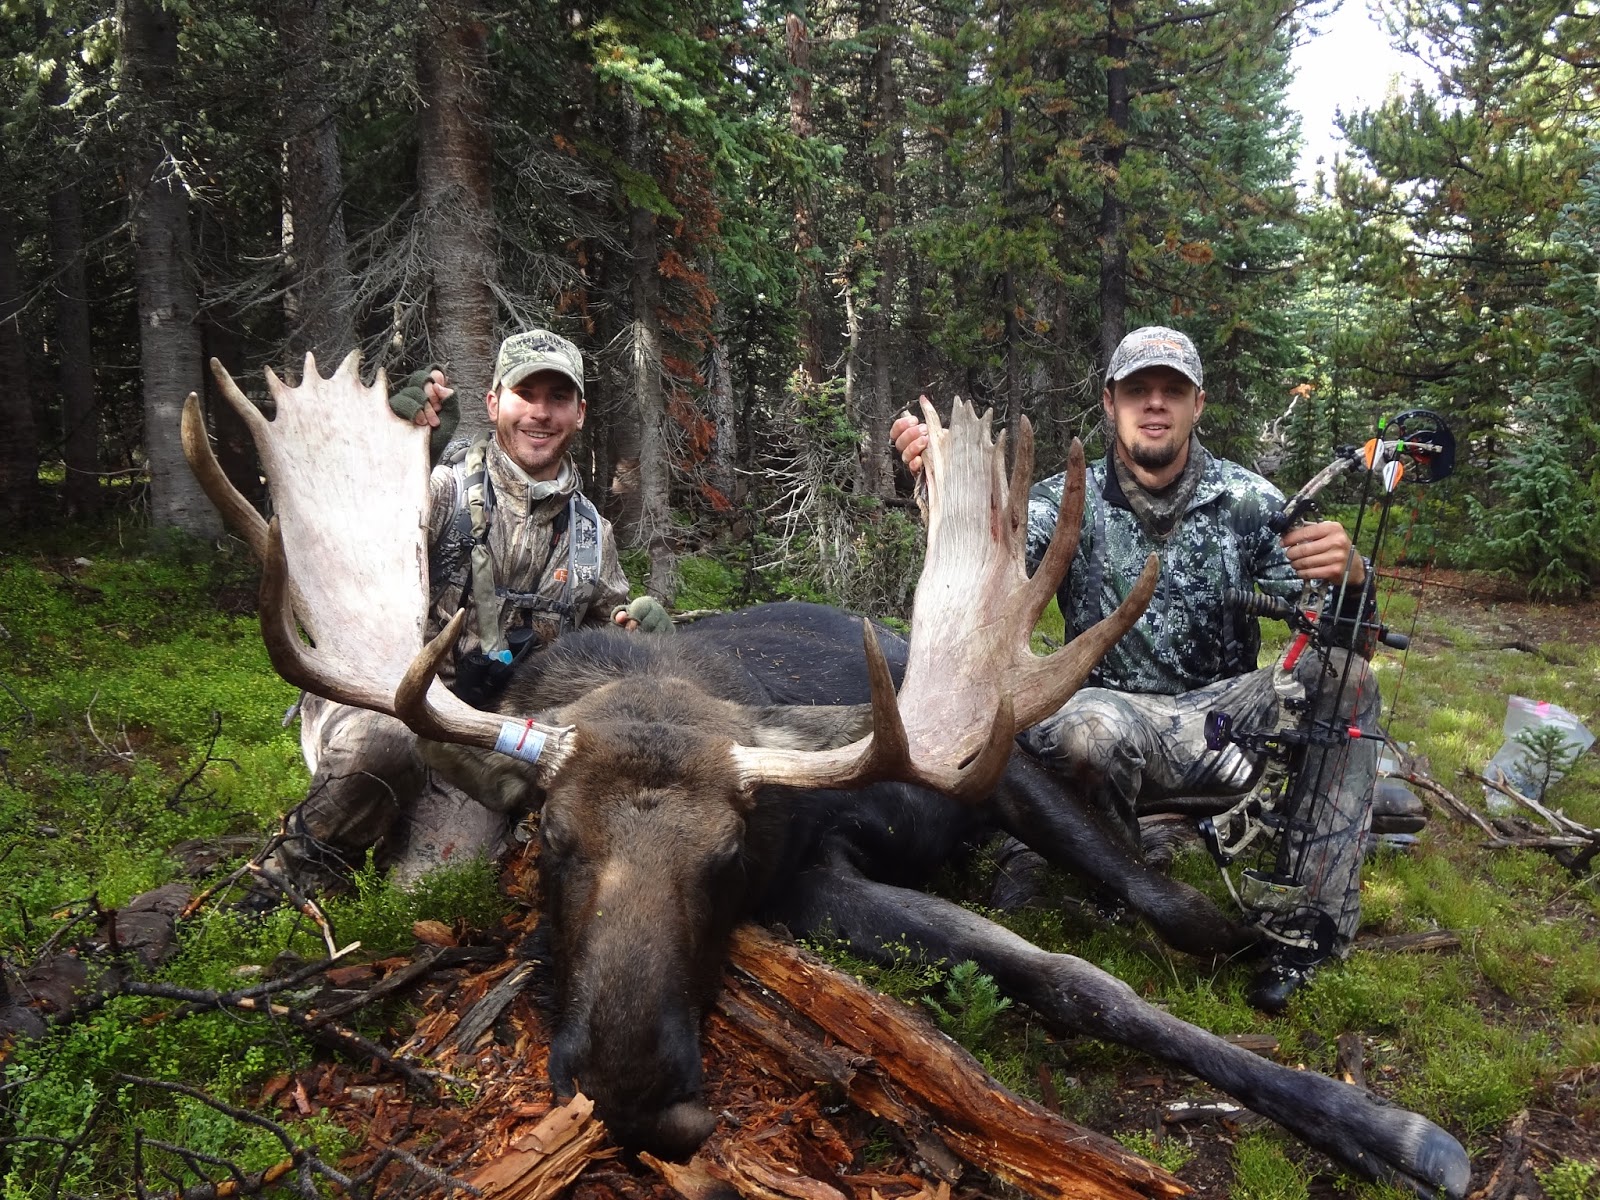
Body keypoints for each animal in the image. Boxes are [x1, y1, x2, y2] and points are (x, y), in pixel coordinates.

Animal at [181, 353, 1470, 1199]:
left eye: (726, 851)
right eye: (548, 842)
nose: (634, 1090)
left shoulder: (983, 757)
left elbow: (1120, 937)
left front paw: (1380, 1112)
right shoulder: (813, 889)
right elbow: (1043, 969)